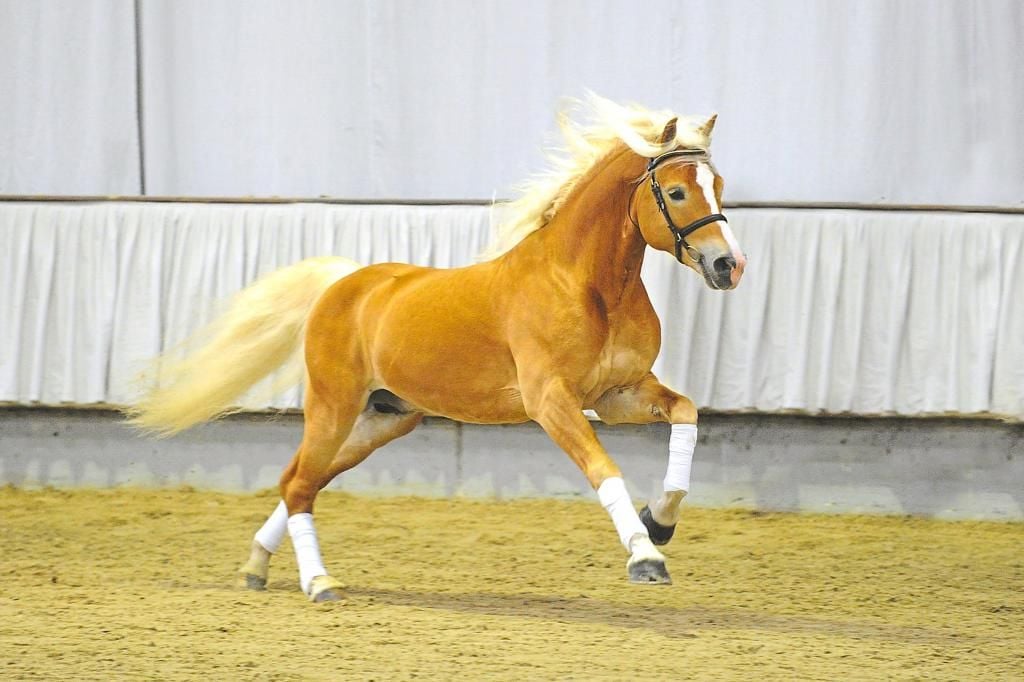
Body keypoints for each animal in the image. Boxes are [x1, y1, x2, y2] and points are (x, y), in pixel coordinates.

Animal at [128, 95, 746, 602]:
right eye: (675, 191)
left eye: (718, 186)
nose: (728, 266)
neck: (583, 285)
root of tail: (342, 284)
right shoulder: (551, 402)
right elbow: (604, 470)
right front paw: (646, 556)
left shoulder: (618, 395)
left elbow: (686, 414)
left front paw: (660, 521)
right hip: (333, 407)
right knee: (301, 486)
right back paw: (319, 583)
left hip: (382, 419)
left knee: (296, 479)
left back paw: (257, 567)